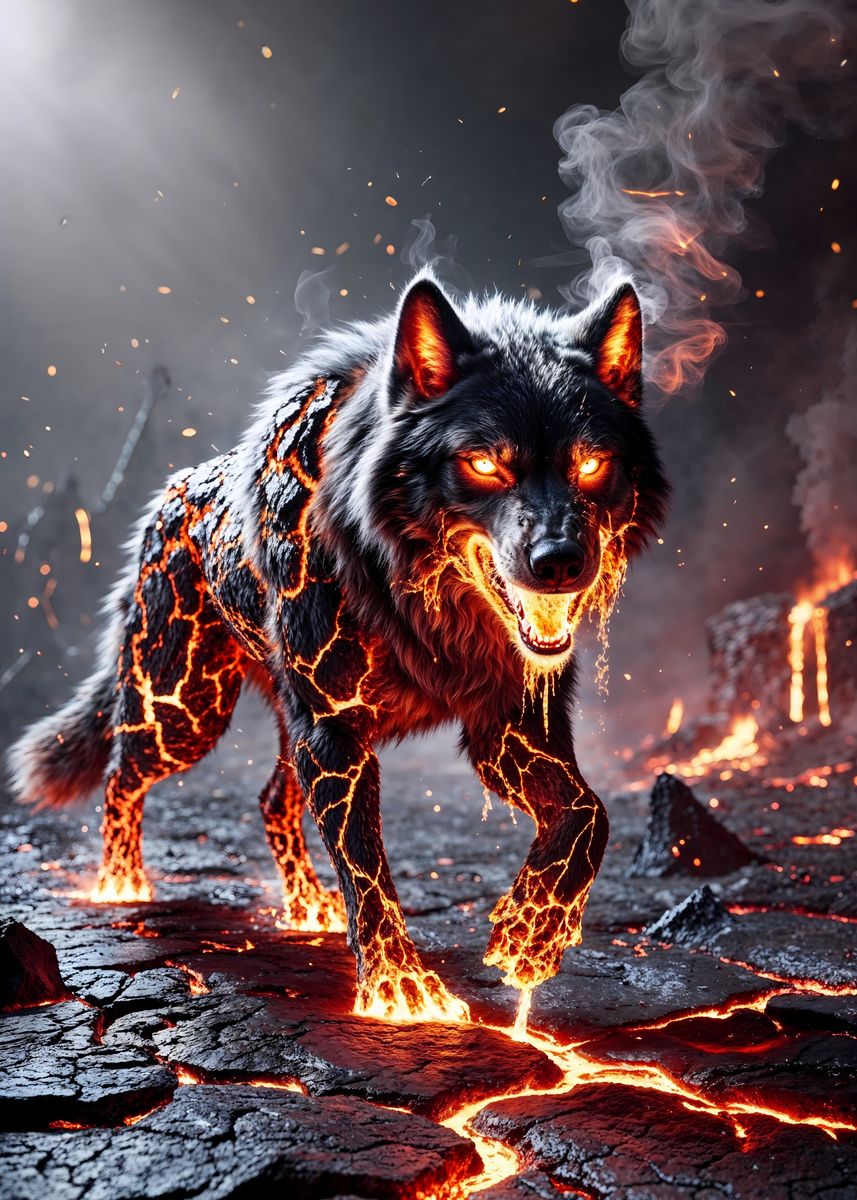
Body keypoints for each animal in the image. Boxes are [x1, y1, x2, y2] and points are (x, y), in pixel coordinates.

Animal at [8, 274, 668, 1021]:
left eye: (591, 463)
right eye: (483, 463)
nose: (559, 562)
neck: (416, 602)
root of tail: (165, 498)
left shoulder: (506, 726)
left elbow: (590, 815)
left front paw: (531, 936)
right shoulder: (335, 735)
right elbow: (365, 864)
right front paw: (399, 985)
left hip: (271, 727)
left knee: (270, 799)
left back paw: (306, 909)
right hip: (184, 711)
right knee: (122, 774)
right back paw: (122, 884)